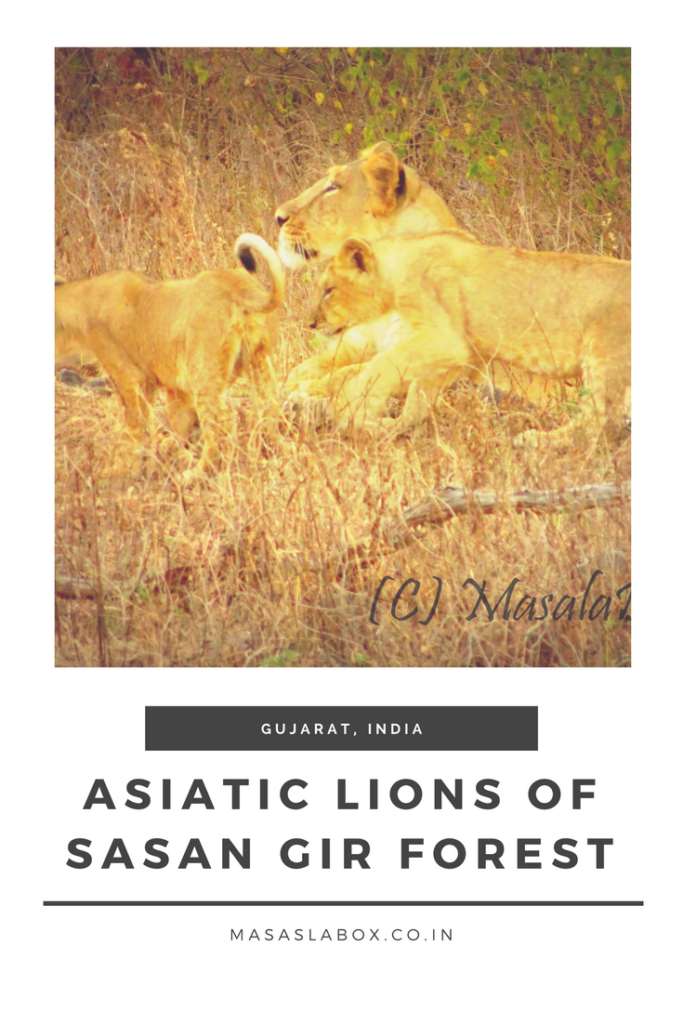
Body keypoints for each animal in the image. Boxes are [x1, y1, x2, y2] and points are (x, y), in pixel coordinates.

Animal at [55, 234, 285, 479]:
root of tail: (239, 286)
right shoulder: (157, 384)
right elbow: (160, 422)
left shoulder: (127, 378)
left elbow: (133, 425)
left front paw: (124, 469)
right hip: (260, 364)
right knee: (270, 408)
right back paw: (275, 457)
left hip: (204, 373)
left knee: (223, 420)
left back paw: (196, 474)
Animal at [306, 230, 631, 447]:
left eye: (328, 290)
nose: (310, 323)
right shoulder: (454, 355)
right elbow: (418, 399)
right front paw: (389, 428)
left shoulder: (445, 340)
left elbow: (381, 365)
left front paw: (352, 410)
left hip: (603, 354)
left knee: (598, 421)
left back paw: (535, 440)